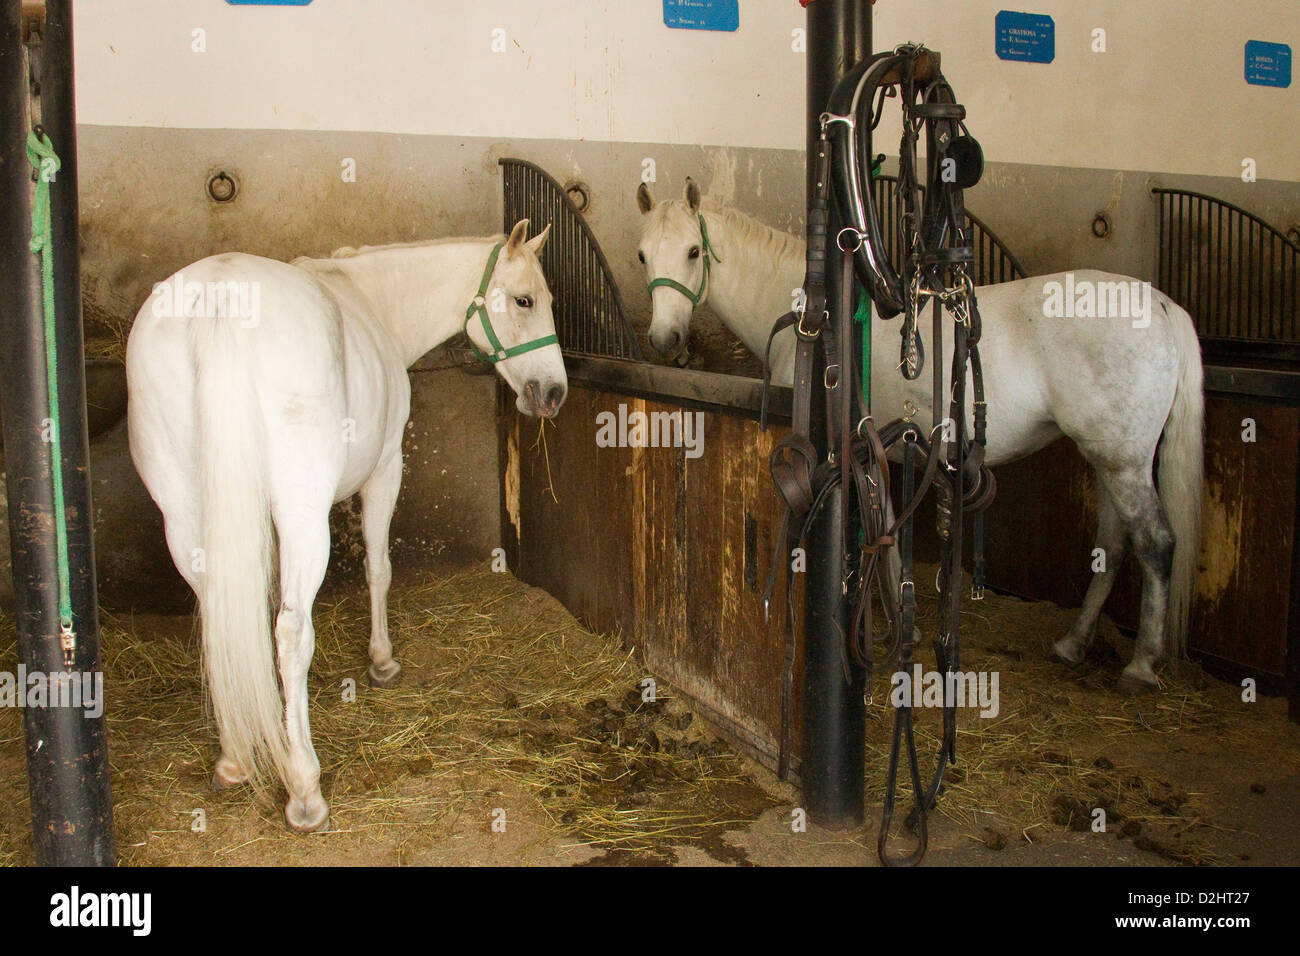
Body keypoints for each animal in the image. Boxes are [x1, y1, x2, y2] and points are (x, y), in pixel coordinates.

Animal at [126, 219, 565, 832]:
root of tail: (221, 297)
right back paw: (304, 789)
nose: (553, 393)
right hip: (303, 514)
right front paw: (381, 661)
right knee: (290, 634)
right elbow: (378, 567)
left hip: (183, 510)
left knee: (219, 612)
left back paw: (234, 757)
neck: (371, 300)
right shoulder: (384, 470)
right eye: (525, 300)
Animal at [635, 179, 1204, 694]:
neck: (816, 323)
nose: (664, 339)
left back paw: (1140, 667)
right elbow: (885, 538)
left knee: (1156, 543)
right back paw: (1073, 643)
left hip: (1123, 463)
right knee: (1114, 542)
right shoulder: (878, 453)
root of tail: (1162, 305)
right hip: (1111, 460)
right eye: (642, 255)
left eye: (692, 251)